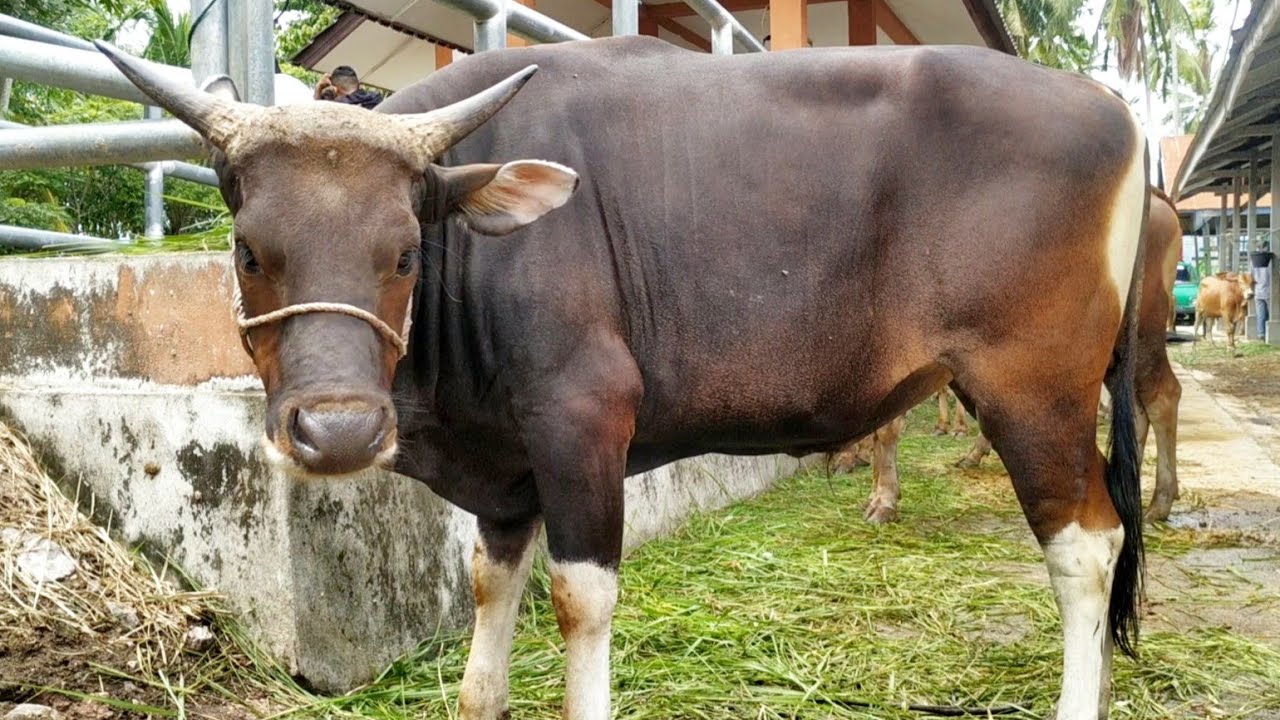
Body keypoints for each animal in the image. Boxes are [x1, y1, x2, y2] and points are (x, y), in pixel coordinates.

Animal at [98, 37, 1148, 720]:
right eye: (249, 250)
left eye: (402, 253)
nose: (340, 432)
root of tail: (1112, 108)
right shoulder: (507, 468)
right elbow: (486, 602)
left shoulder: (583, 421)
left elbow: (580, 598)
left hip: (1033, 390)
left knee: (1086, 547)